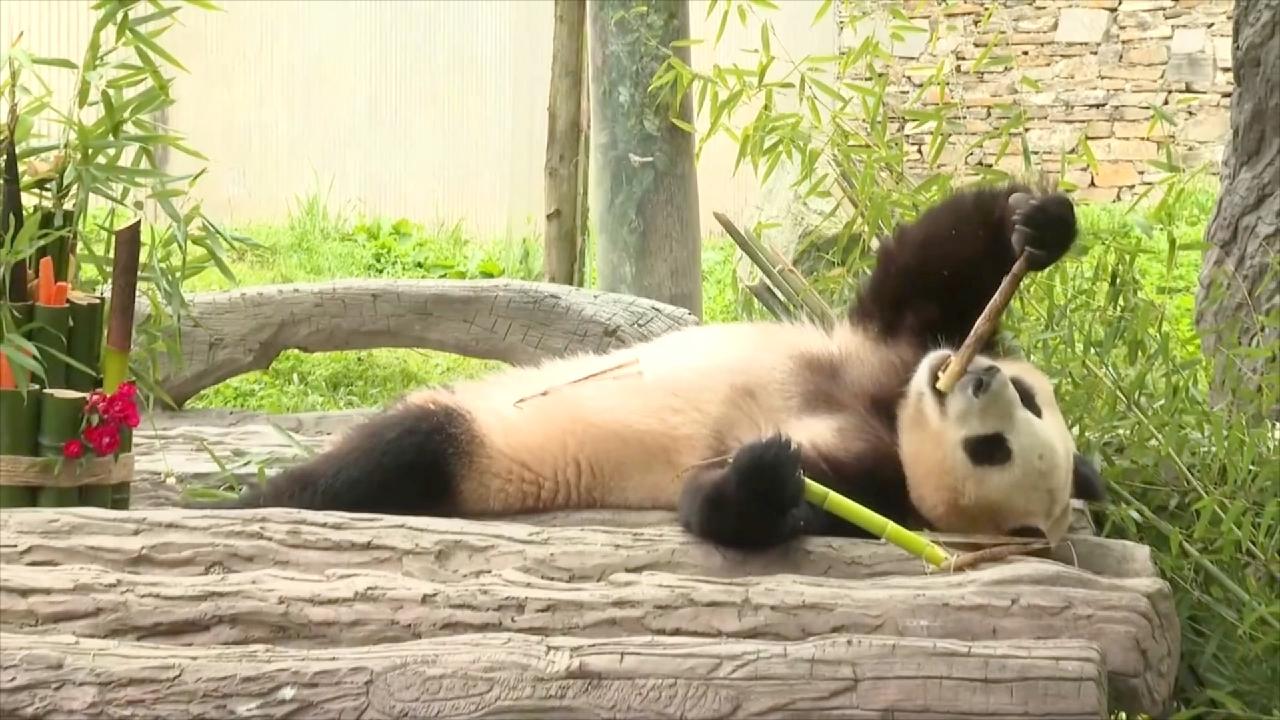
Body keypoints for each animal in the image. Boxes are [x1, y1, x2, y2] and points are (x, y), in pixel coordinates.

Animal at [189, 182, 1107, 551]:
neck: (890, 411)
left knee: (398, 457)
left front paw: (766, 473)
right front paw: (1037, 224)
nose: (980, 380)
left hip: (484, 454)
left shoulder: (882, 485)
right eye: (1026, 400)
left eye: (993, 450)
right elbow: (927, 269)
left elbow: (731, 502)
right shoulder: (892, 346)